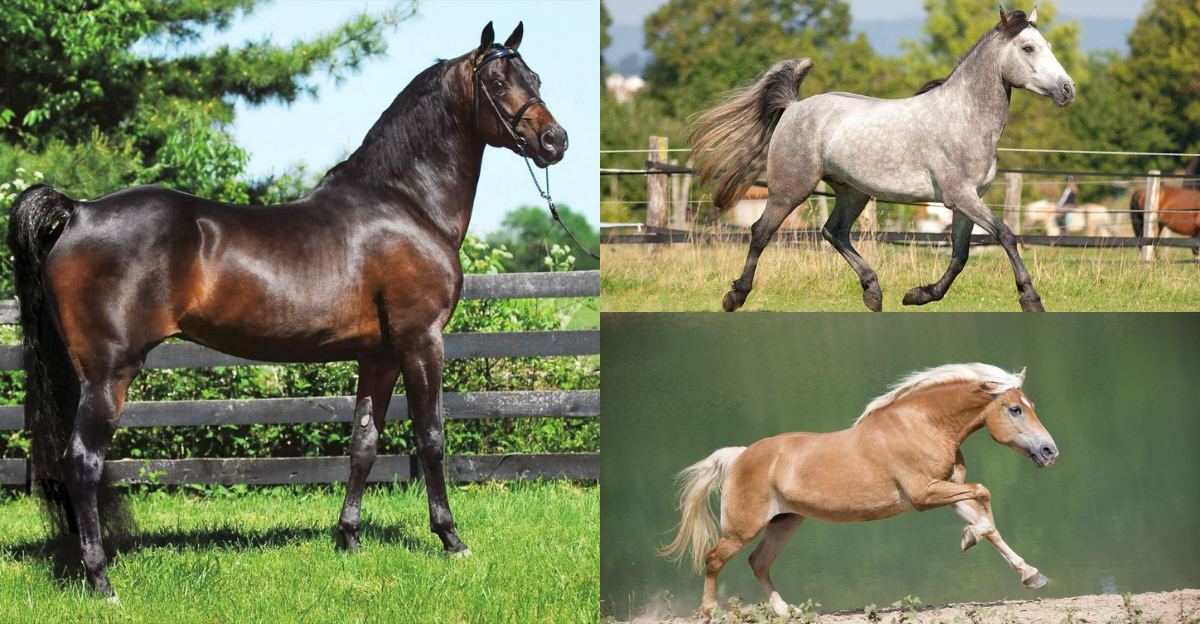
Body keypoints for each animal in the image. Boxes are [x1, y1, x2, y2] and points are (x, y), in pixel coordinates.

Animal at [7, 21, 566, 600]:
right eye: (497, 82)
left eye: (535, 78)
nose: (556, 141)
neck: (406, 203)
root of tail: (78, 212)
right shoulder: (421, 341)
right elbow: (431, 437)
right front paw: (452, 539)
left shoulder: (380, 355)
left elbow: (364, 442)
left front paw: (349, 539)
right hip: (108, 374)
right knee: (82, 462)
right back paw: (102, 582)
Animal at [661, 364, 1059, 620]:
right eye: (1015, 409)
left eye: (1030, 406)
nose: (1049, 451)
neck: (921, 424)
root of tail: (740, 455)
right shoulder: (925, 495)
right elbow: (985, 494)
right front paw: (969, 538)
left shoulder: (948, 490)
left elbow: (989, 526)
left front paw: (1030, 575)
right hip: (743, 529)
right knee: (714, 560)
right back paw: (708, 612)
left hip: (785, 522)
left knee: (758, 562)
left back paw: (785, 611)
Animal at [689, 7, 1074, 312]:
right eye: (1028, 47)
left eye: (1050, 47)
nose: (1068, 89)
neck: (962, 118)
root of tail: (794, 107)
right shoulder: (960, 196)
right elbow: (1006, 235)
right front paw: (1031, 299)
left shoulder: (968, 200)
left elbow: (960, 255)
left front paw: (919, 294)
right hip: (790, 189)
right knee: (762, 232)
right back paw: (735, 296)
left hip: (852, 192)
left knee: (834, 232)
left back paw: (873, 292)